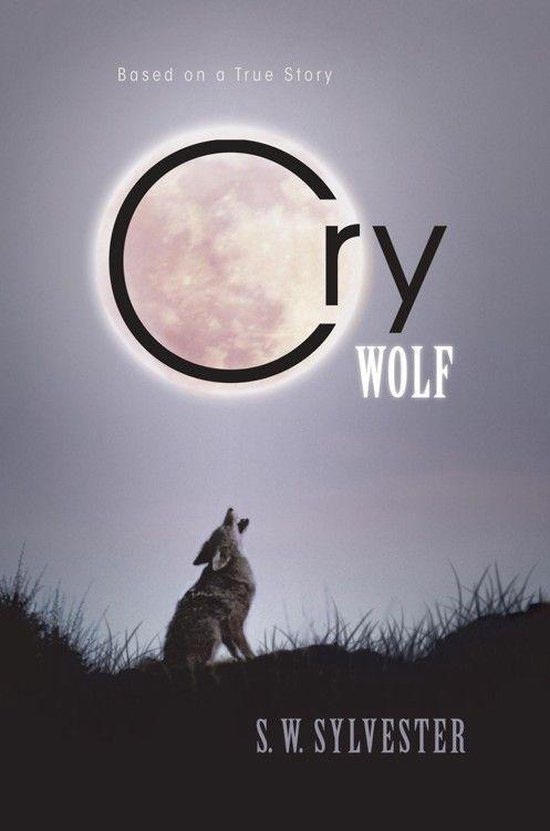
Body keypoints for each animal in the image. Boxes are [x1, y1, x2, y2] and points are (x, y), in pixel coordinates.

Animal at [163, 508, 255, 668]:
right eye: (226, 524)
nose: (230, 508)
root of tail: (168, 661)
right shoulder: (235, 621)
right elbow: (245, 647)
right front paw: (251, 658)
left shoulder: (226, 628)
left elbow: (233, 649)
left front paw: (238, 659)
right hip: (213, 631)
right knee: (201, 664)